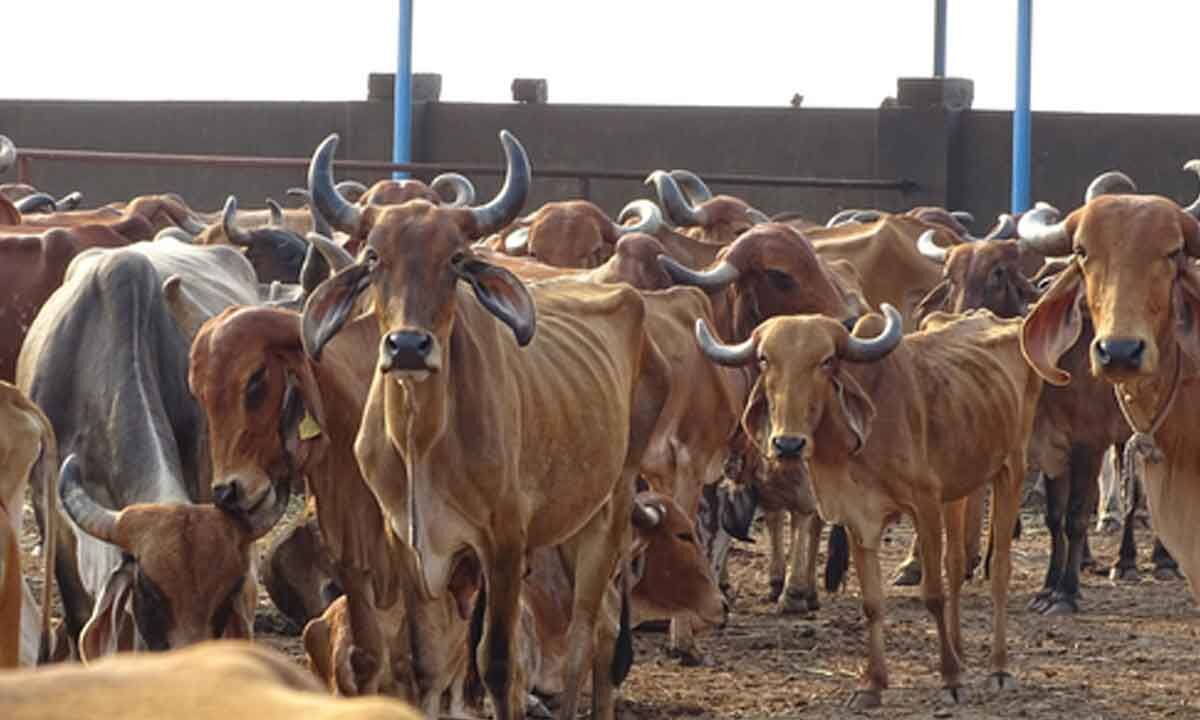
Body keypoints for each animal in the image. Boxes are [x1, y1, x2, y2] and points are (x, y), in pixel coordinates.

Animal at [300, 129, 667, 720]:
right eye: (374, 256)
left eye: (455, 258)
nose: (408, 346)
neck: (421, 440)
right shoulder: (409, 544)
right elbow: (423, 663)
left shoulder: (504, 542)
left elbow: (497, 663)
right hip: (569, 523)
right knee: (602, 626)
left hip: (611, 508)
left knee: (587, 636)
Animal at [696, 305, 1039, 708]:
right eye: (765, 359)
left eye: (827, 360)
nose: (788, 444)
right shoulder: (858, 519)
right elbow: (872, 603)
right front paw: (872, 684)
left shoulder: (924, 505)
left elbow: (933, 595)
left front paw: (951, 679)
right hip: (959, 488)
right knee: (955, 566)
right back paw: (959, 651)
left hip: (1011, 470)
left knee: (999, 569)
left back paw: (998, 669)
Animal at [1017, 163, 1200, 605]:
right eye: (1081, 252)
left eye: (1173, 253)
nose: (1118, 351)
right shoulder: (1054, 443)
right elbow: (1054, 517)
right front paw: (1048, 585)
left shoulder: (1090, 441)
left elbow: (1076, 516)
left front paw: (1066, 592)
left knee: (1134, 501)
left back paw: (1141, 561)